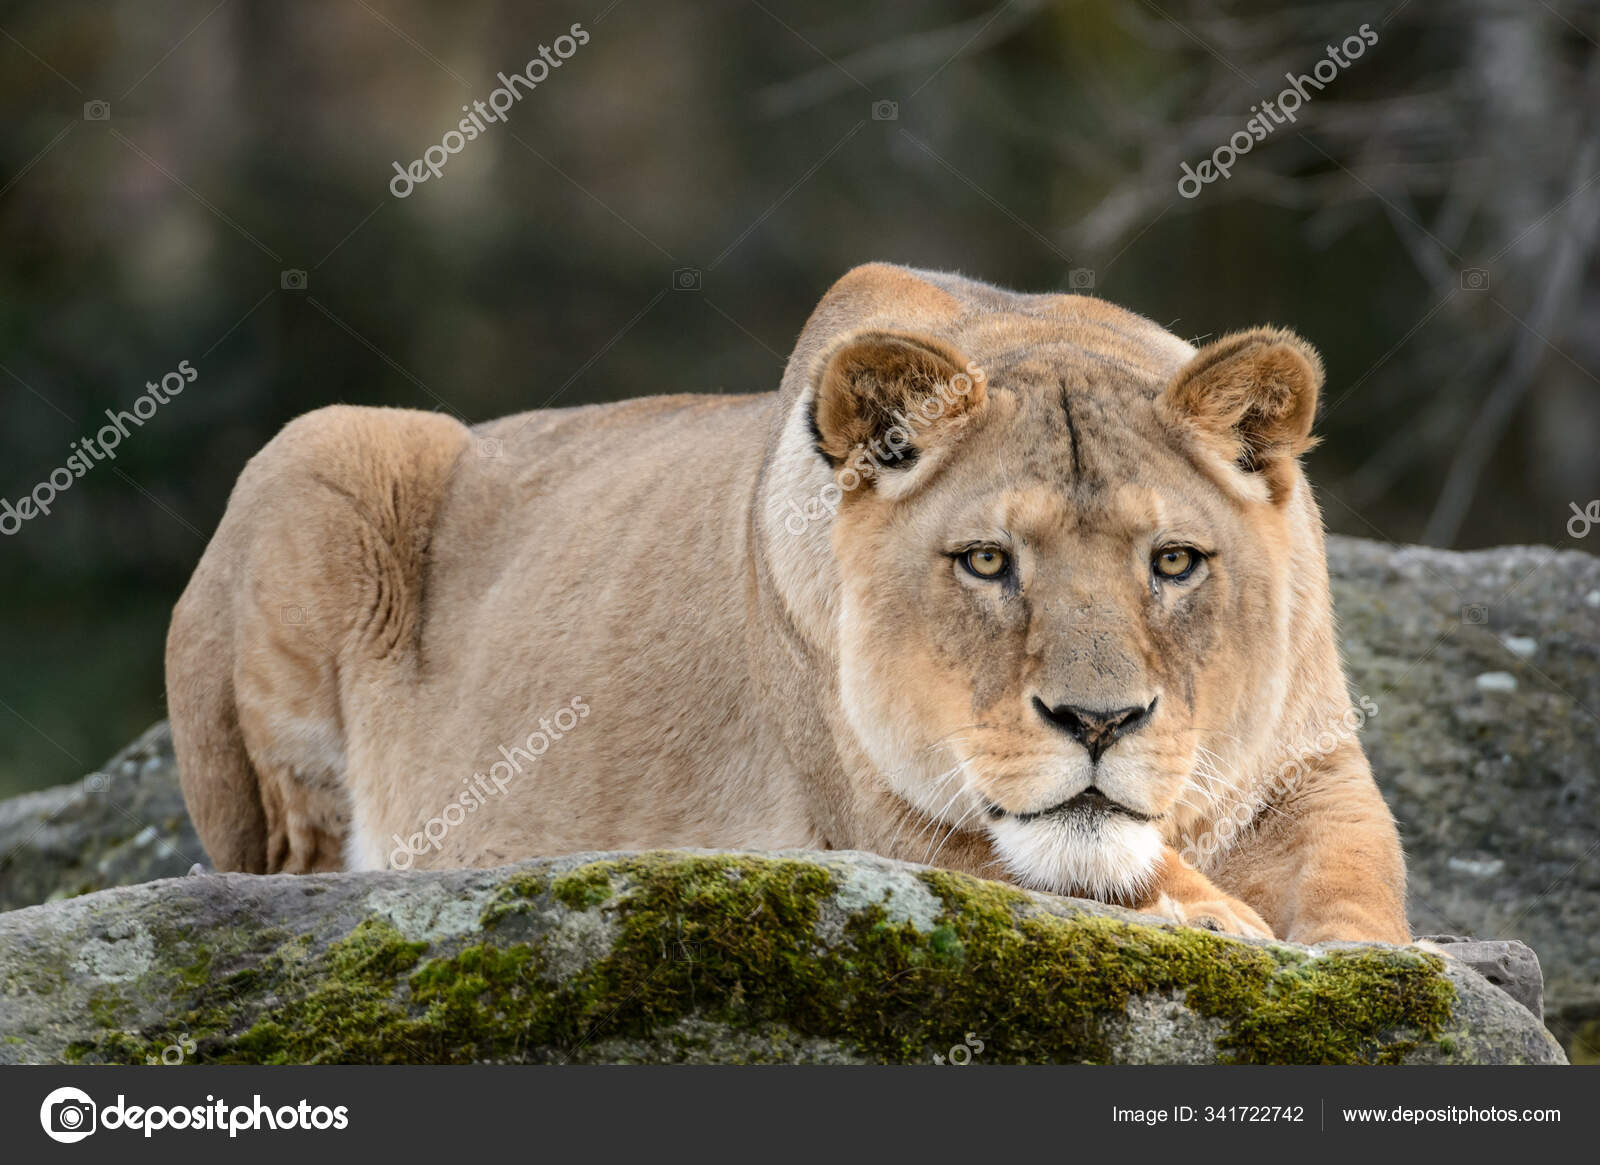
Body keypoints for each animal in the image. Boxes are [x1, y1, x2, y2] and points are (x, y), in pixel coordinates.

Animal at [166, 262, 1409, 944]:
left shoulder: (1313, 764)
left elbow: (1364, 876)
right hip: (325, 446)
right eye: (986, 563)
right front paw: (1216, 915)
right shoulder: (893, 827)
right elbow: (1104, 864)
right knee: (294, 863)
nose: (1097, 724)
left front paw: (1369, 957)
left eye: (1174, 562)